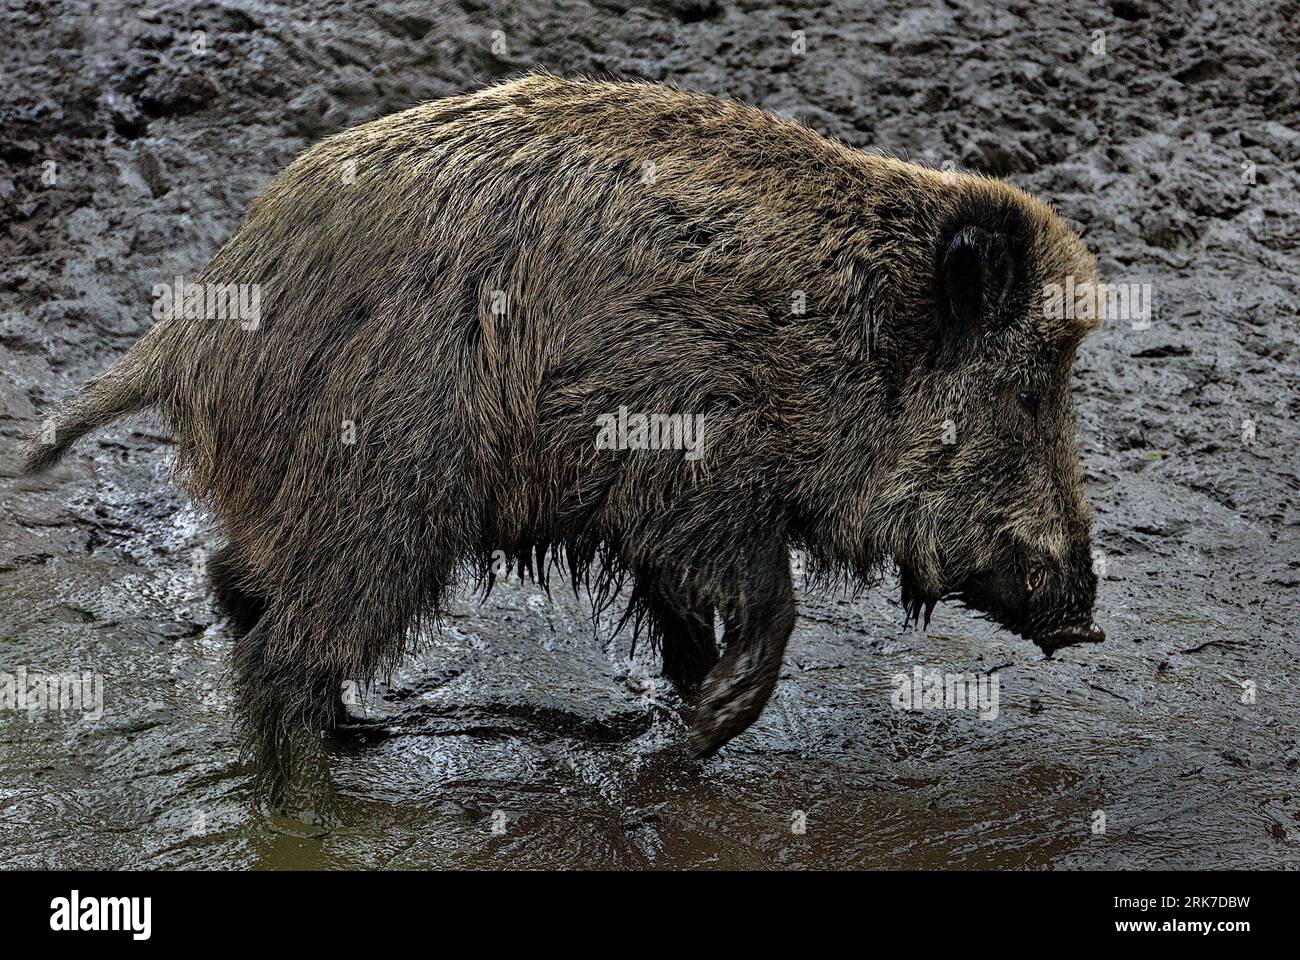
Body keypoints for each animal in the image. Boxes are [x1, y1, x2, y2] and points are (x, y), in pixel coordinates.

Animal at [22, 73, 1105, 803]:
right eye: (1028, 396)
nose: (1086, 615)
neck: (842, 341)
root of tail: (189, 329)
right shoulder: (691, 471)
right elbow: (766, 611)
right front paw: (687, 740)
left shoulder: (655, 516)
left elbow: (687, 623)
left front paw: (676, 721)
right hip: (383, 500)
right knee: (279, 657)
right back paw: (316, 802)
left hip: (308, 505)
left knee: (238, 592)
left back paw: (361, 738)